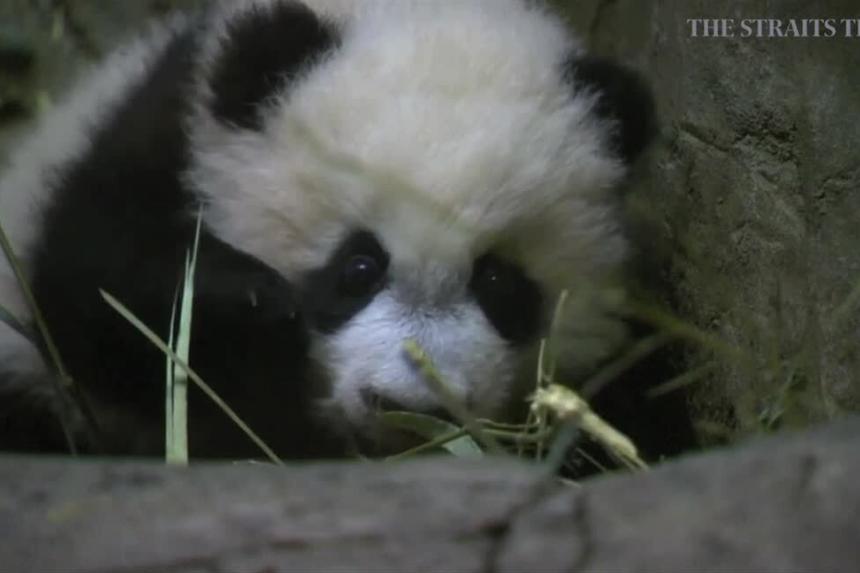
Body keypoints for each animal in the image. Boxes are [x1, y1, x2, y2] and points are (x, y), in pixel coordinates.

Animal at [0, 0, 675, 461]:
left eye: (499, 283)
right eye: (358, 267)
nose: (408, 408)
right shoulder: (158, 137)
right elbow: (89, 292)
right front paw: (248, 299)